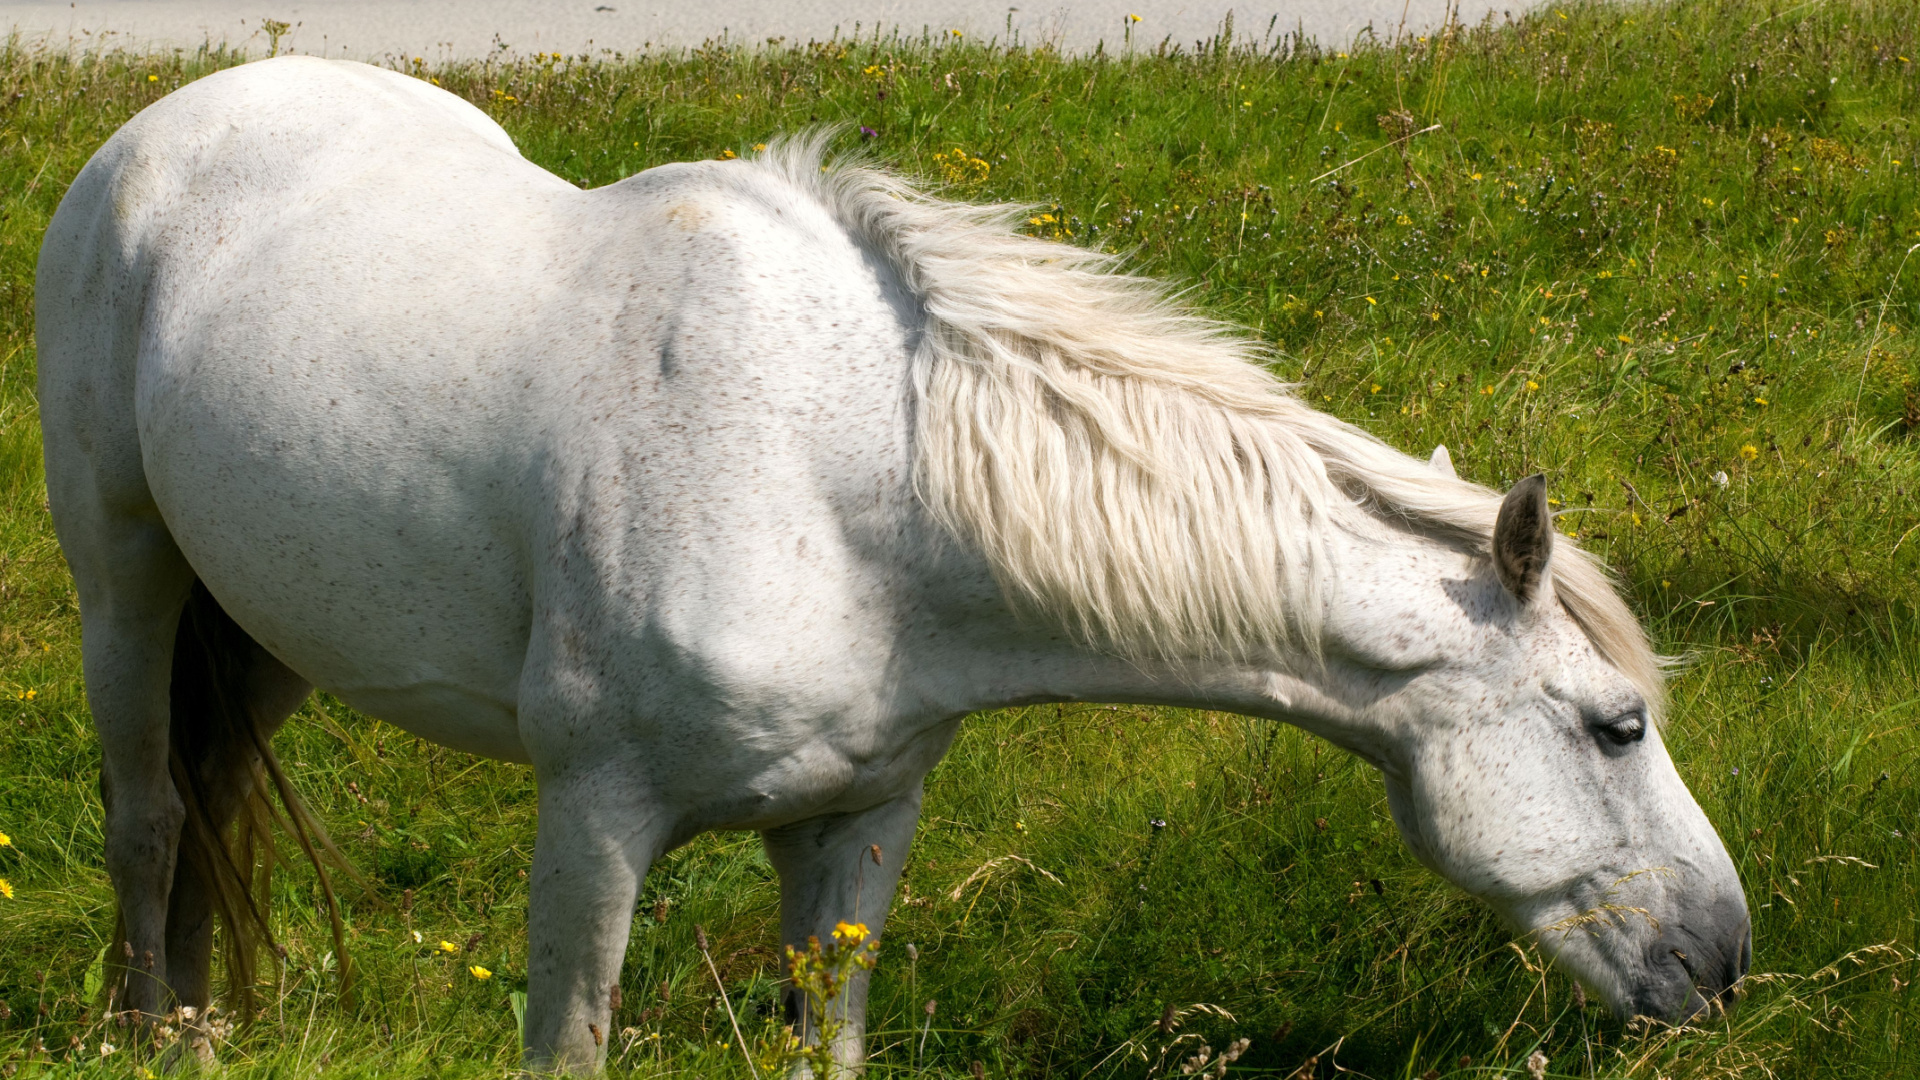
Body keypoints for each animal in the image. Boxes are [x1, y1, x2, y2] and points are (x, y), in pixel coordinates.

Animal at [37, 56, 1749, 1073]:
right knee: (148, 815)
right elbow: (569, 1040)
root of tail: (169, 123)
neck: (852, 488)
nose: (1723, 959)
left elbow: (824, 1042)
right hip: (126, 582)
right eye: (1618, 726)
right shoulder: (594, 823)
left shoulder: (862, 824)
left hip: (265, 629)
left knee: (204, 806)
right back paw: (157, 1036)